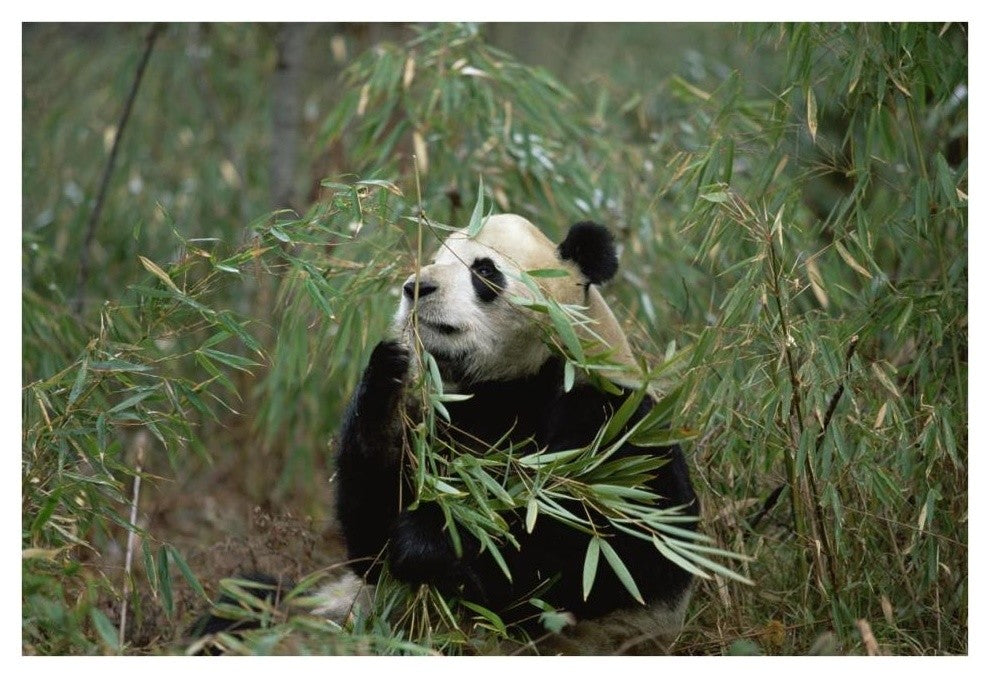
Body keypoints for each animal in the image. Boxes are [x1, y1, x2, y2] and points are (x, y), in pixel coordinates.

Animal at [330, 214, 700, 654]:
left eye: (484, 270)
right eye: (434, 260)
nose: (416, 287)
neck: (510, 384)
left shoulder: (610, 420)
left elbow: (609, 553)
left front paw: (429, 539)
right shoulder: (447, 420)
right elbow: (370, 544)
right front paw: (388, 371)